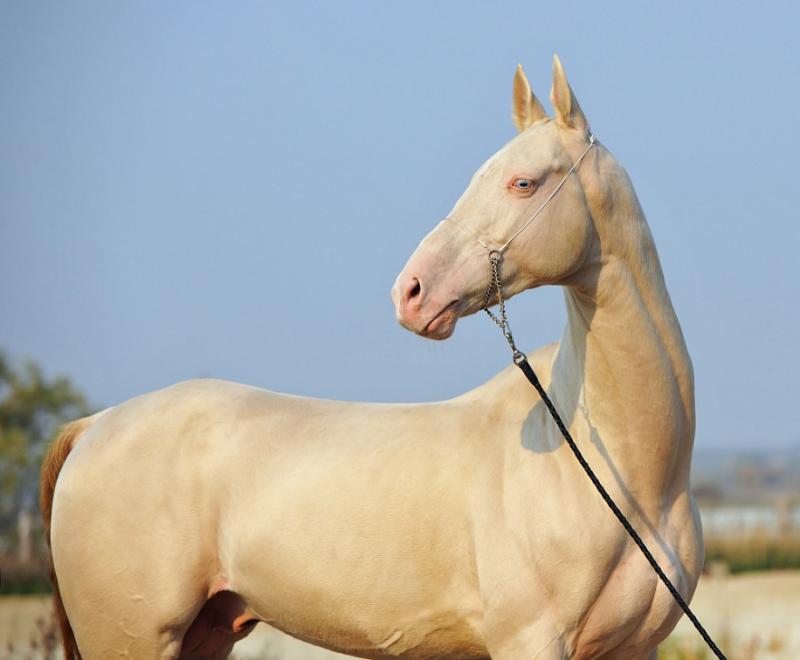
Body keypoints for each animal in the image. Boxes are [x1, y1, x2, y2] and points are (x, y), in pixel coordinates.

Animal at [41, 56, 702, 659]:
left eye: (523, 182)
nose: (411, 292)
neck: (612, 471)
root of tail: (93, 427)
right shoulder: (530, 642)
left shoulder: (632, 649)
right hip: (131, 641)